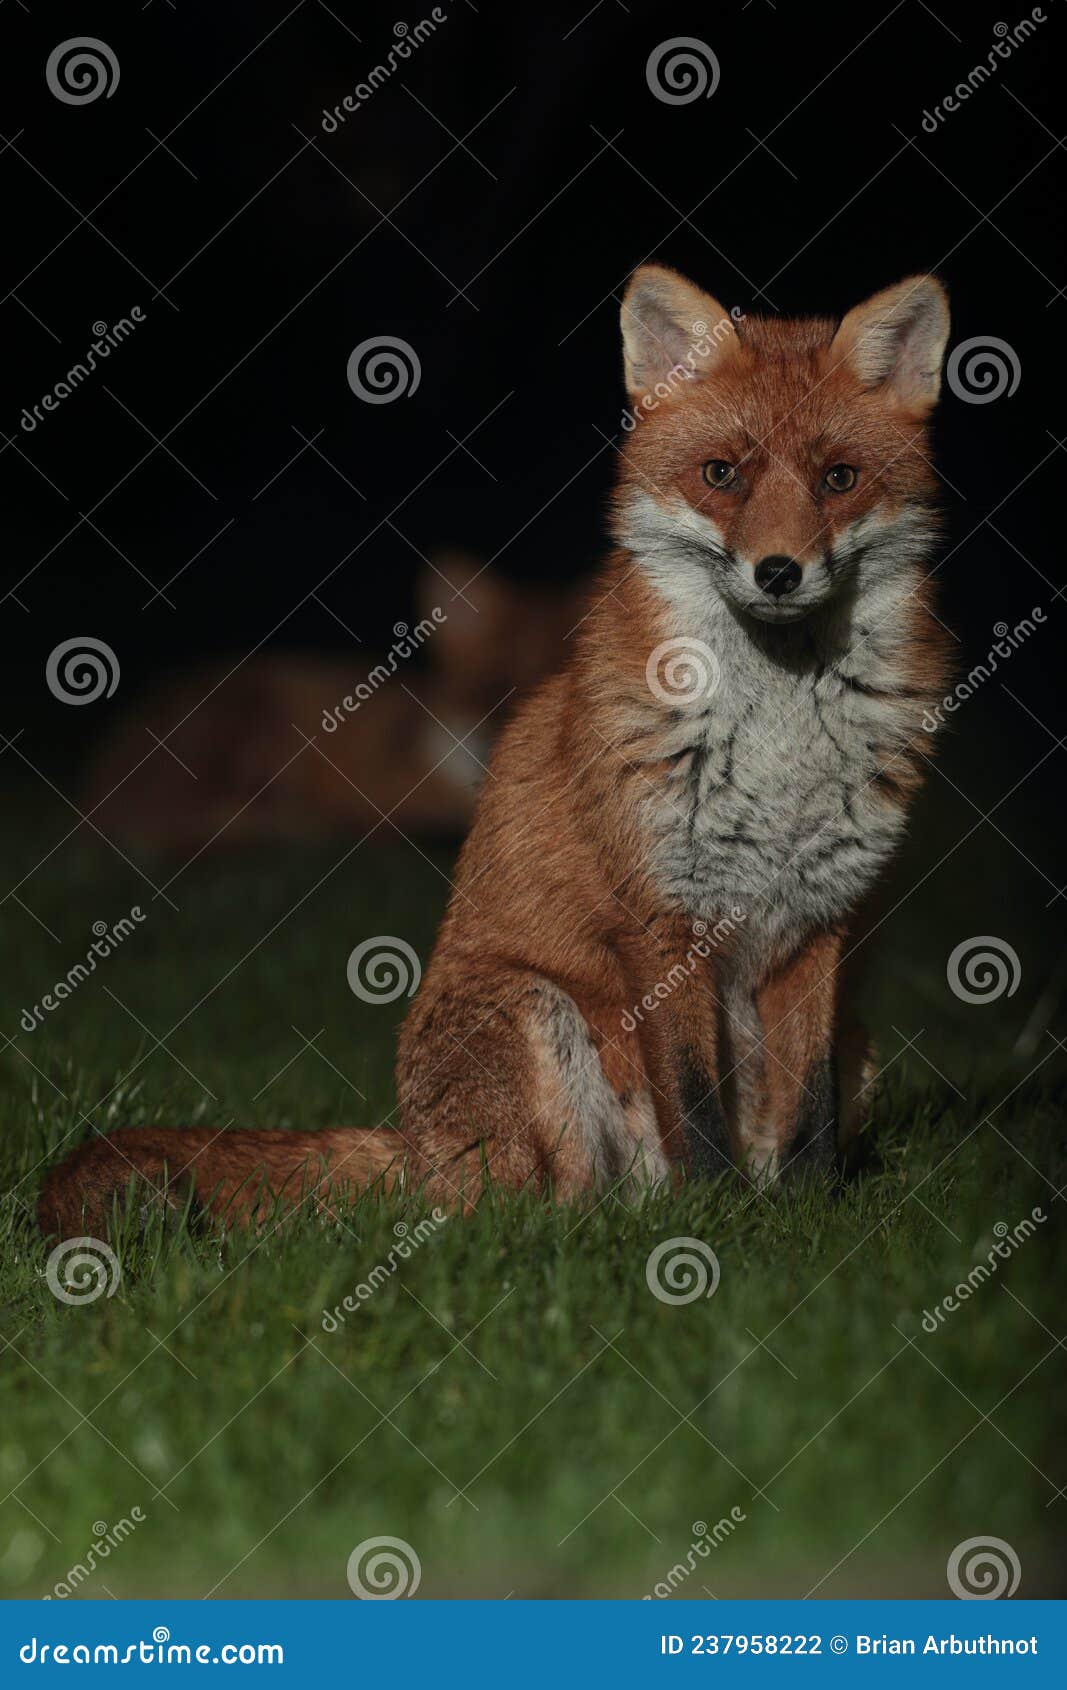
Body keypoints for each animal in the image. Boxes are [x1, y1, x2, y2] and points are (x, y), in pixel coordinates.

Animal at [38, 264, 952, 1241]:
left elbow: (805, 1112)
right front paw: (715, 1224)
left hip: (862, 1043)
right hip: (529, 1017)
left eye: (837, 479)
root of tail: (413, 1148)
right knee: (520, 1221)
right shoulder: (658, 923)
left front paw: (808, 1220)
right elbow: (695, 1108)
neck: (777, 743)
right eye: (721, 475)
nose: (777, 571)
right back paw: (603, 1229)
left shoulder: (819, 925)